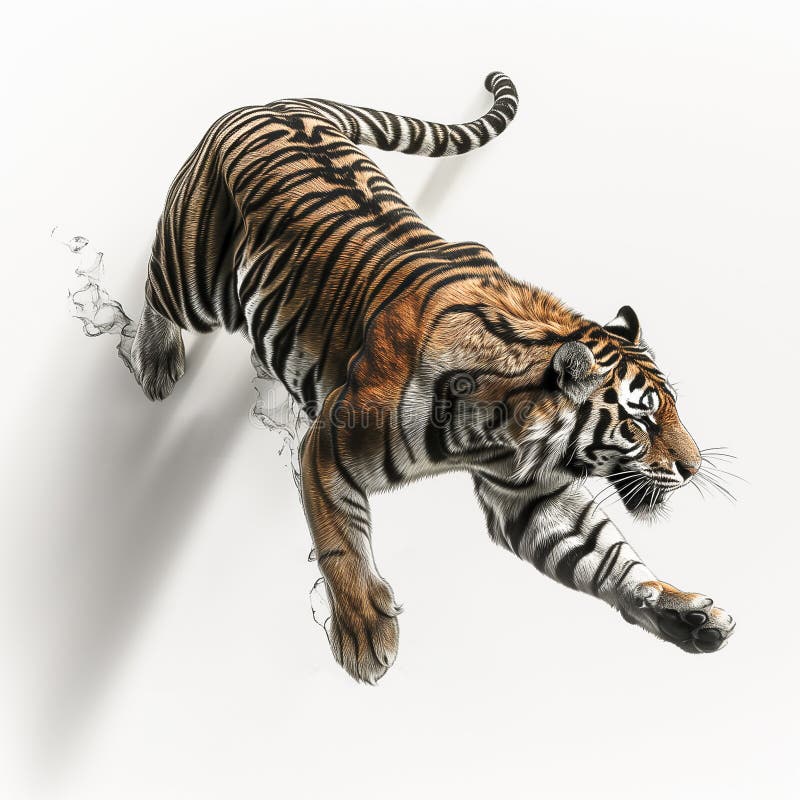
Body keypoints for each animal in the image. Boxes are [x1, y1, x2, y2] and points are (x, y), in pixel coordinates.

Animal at [130, 71, 735, 683]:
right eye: (639, 422)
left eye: (673, 409)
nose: (692, 468)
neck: (508, 436)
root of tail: (273, 103)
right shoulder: (327, 446)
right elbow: (340, 540)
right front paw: (365, 635)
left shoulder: (532, 497)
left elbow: (609, 560)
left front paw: (684, 614)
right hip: (196, 278)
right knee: (157, 286)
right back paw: (157, 362)